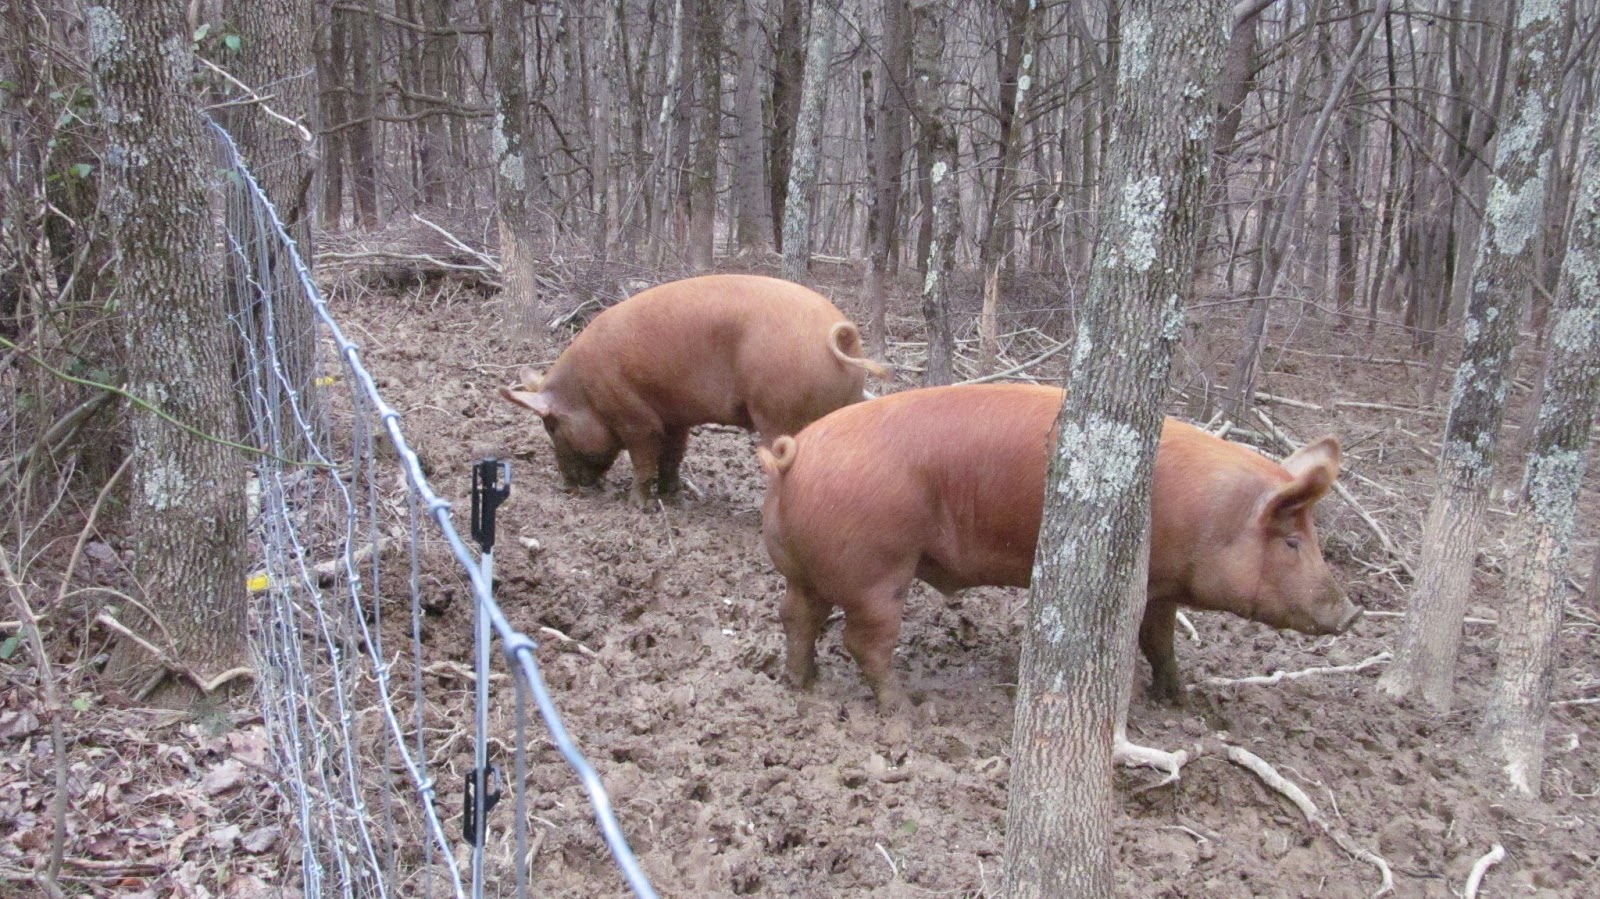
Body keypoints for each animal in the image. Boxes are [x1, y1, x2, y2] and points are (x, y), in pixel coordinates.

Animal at [499, 274, 889, 506]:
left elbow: (644, 459)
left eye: (551, 426)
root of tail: (842, 334)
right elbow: (673, 456)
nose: (567, 486)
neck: (584, 391)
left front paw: (636, 506)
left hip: (780, 412)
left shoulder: (634, 417)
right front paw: (673, 499)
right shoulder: (675, 417)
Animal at [756, 383, 1361, 712]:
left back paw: (803, 684)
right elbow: (1139, 640)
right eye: (1291, 540)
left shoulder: (1161, 587)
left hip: (805, 568)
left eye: (1313, 538)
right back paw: (907, 711)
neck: (1213, 518)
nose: (1351, 613)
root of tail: (793, 455)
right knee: (865, 642)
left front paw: (1183, 700)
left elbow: (1161, 643)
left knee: (796, 615)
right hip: (877, 571)